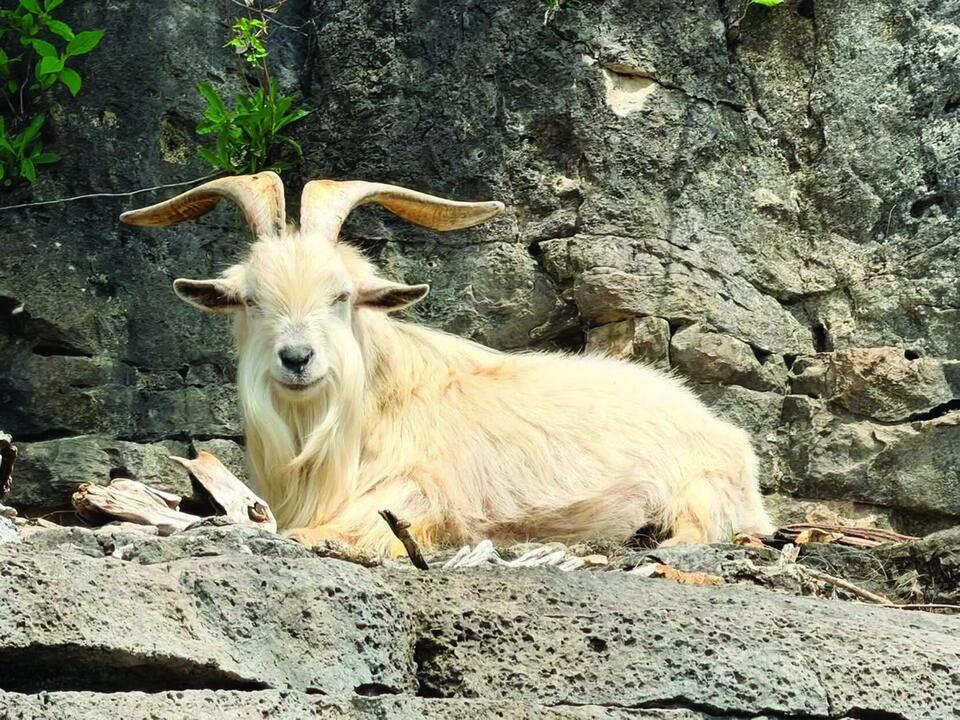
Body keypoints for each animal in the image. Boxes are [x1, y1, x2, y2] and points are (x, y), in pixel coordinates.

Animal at [121, 172, 774, 553]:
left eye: (342, 295)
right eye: (251, 299)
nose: (297, 358)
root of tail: (727, 434)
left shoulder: (415, 494)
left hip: (701, 491)